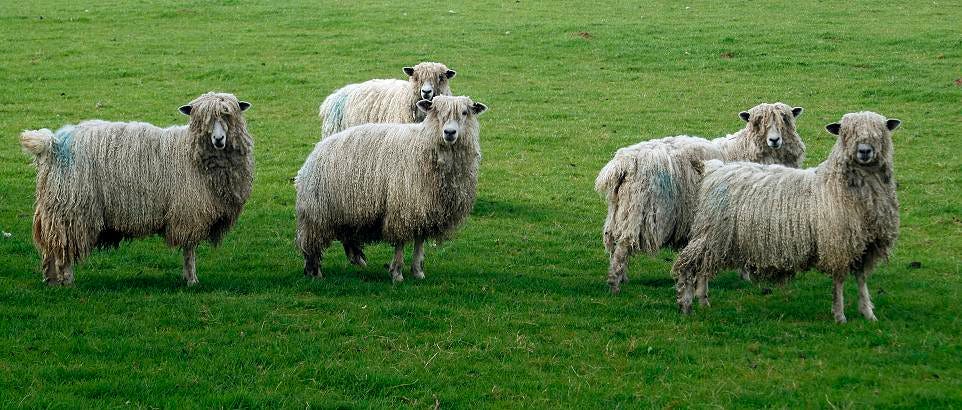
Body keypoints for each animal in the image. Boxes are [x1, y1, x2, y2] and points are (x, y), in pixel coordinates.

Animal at [19, 92, 253, 286]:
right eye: (203, 119)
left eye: (228, 116)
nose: (218, 139)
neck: (189, 152)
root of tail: (54, 143)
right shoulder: (189, 212)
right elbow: (189, 250)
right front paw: (191, 280)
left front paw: (190, 278)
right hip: (73, 207)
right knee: (64, 247)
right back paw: (67, 280)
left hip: (53, 209)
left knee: (50, 246)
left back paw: (51, 281)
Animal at [296, 95, 487, 282]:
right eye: (436, 112)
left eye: (465, 112)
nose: (449, 132)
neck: (424, 146)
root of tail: (315, 152)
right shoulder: (402, 206)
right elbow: (400, 242)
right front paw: (397, 273)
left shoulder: (425, 208)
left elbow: (419, 241)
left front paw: (418, 271)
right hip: (319, 213)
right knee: (311, 242)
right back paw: (315, 271)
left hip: (346, 209)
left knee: (346, 234)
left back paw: (356, 259)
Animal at [594, 103, 805, 294]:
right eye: (757, 122)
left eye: (785, 119)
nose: (774, 140)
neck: (743, 150)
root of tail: (623, 163)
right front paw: (746, 277)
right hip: (641, 210)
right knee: (623, 245)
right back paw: (615, 284)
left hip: (621, 210)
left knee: (615, 243)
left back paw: (621, 276)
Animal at [673, 112, 901, 323]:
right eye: (845, 133)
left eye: (881, 132)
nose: (864, 151)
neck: (835, 184)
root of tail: (713, 169)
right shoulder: (836, 242)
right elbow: (839, 280)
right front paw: (839, 315)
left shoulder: (866, 244)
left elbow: (861, 279)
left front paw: (868, 313)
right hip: (713, 232)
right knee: (687, 263)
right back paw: (686, 304)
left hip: (715, 237)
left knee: (703, 267)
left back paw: (703, 301)